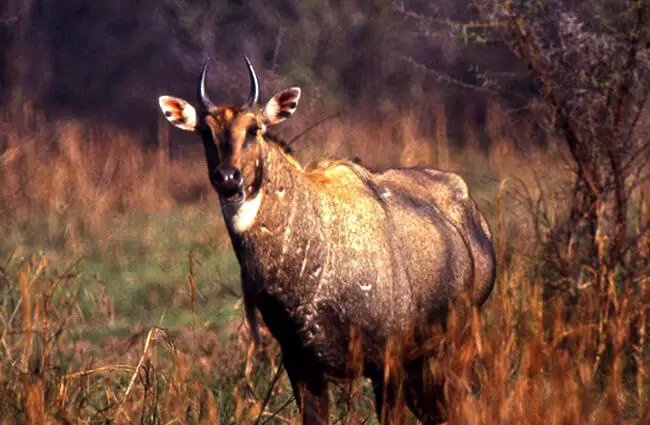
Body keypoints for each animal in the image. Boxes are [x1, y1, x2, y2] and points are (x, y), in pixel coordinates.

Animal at [158, 57, 496, 424]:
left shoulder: (387, 362)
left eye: (254, 129)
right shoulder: (300, 362)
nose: (228, 179)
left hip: (455, 345)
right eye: (205, 131)